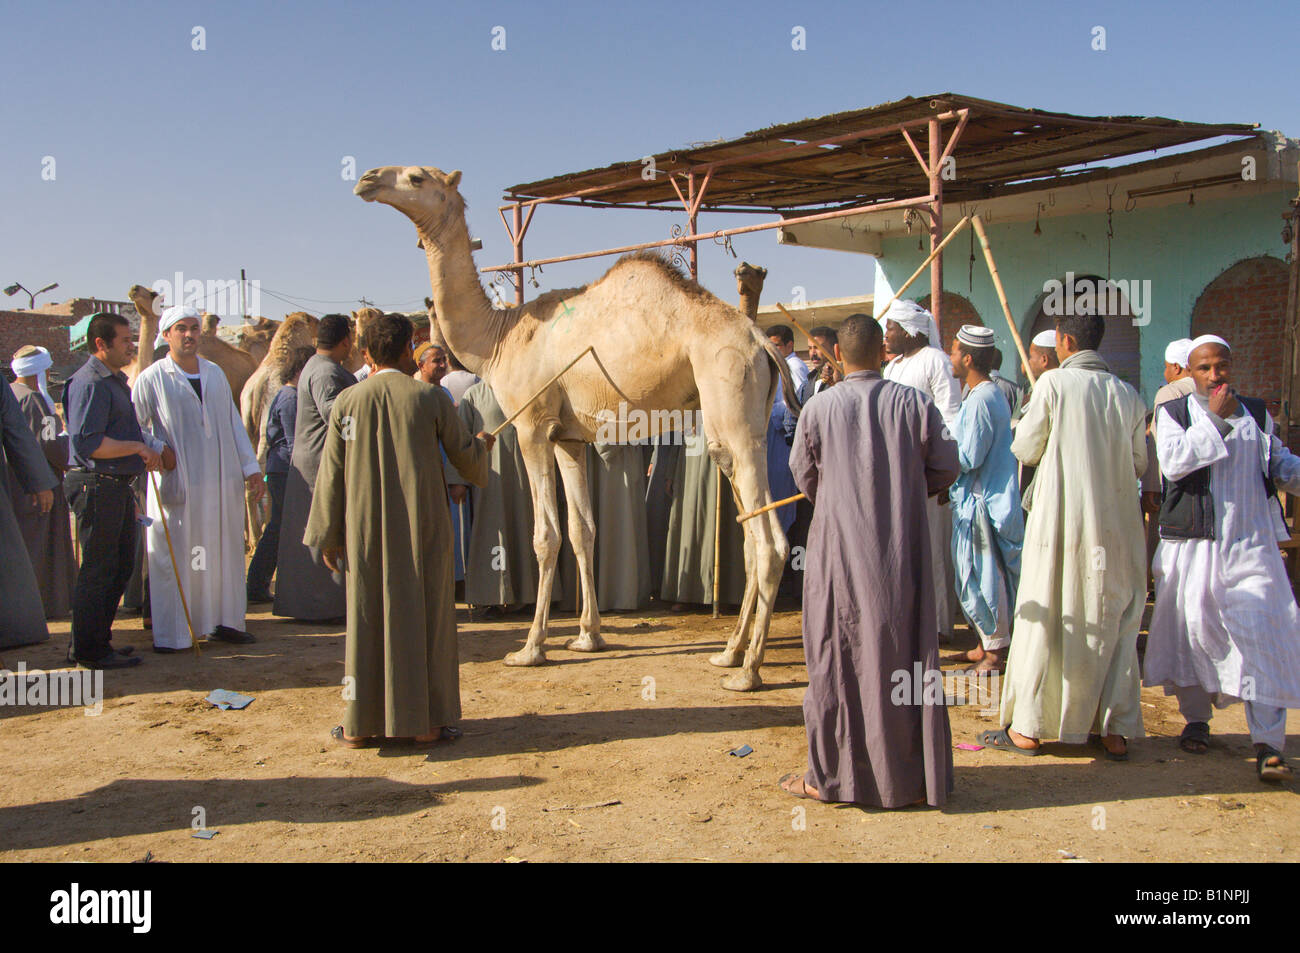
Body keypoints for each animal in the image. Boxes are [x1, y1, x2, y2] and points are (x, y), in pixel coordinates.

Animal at [355, 165, 799, 690]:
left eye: (416, 177)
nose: (366, 179)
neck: (499, 339)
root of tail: (760, 341)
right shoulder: (567, 437)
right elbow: (582, 529)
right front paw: (588, 636)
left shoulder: (530, 425)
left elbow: (546, 536)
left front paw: (530, 648)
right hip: (736, 422)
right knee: (751, 530)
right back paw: (729, 653)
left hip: (731, 396)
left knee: (771, 542)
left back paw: (748, 671)